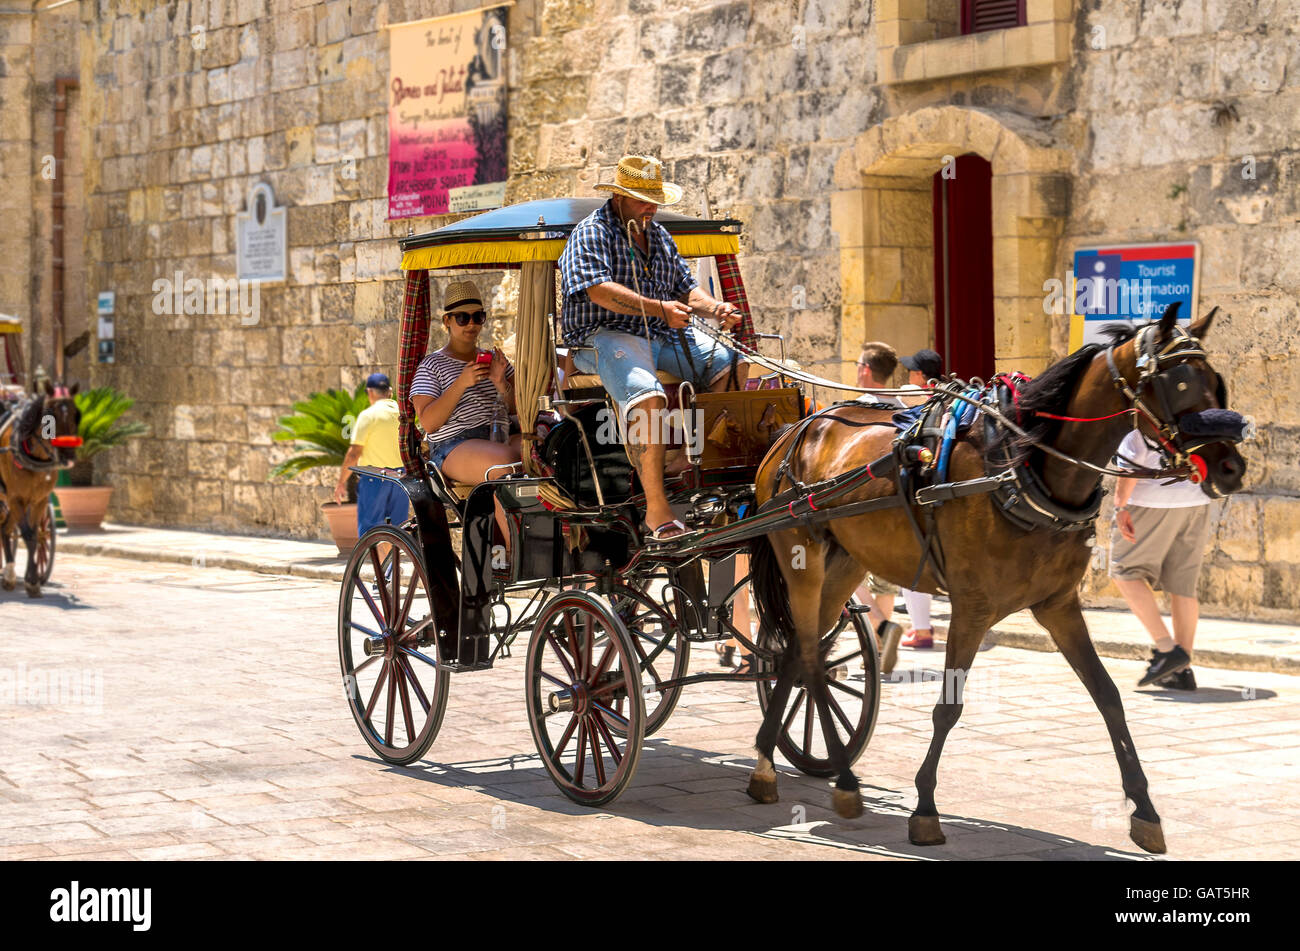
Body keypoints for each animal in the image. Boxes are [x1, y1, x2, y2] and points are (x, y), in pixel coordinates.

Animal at [0, 380, 80, 597]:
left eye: (76, 414)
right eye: (49, 415)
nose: (68, 456)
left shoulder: (39, 500)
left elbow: (35, 536)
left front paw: (32, 579)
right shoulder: (15, 498)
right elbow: (27, 535)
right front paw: (33, 581)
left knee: (6, 529)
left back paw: (9, 575)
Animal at [744, 303, 1247, 854]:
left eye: (1215, 381)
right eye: (1178, 383)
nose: (1232, 466)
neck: (1023, 466)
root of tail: (794, 432)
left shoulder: (1058, 606)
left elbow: (1108, 697)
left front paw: (1145, 811)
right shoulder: (973, 606)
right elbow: (948, 707)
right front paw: (925, 810)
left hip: (847, 561)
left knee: (799, 653)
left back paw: (767, 769)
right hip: (801, 554)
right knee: (812, 661)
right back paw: (844, 783)